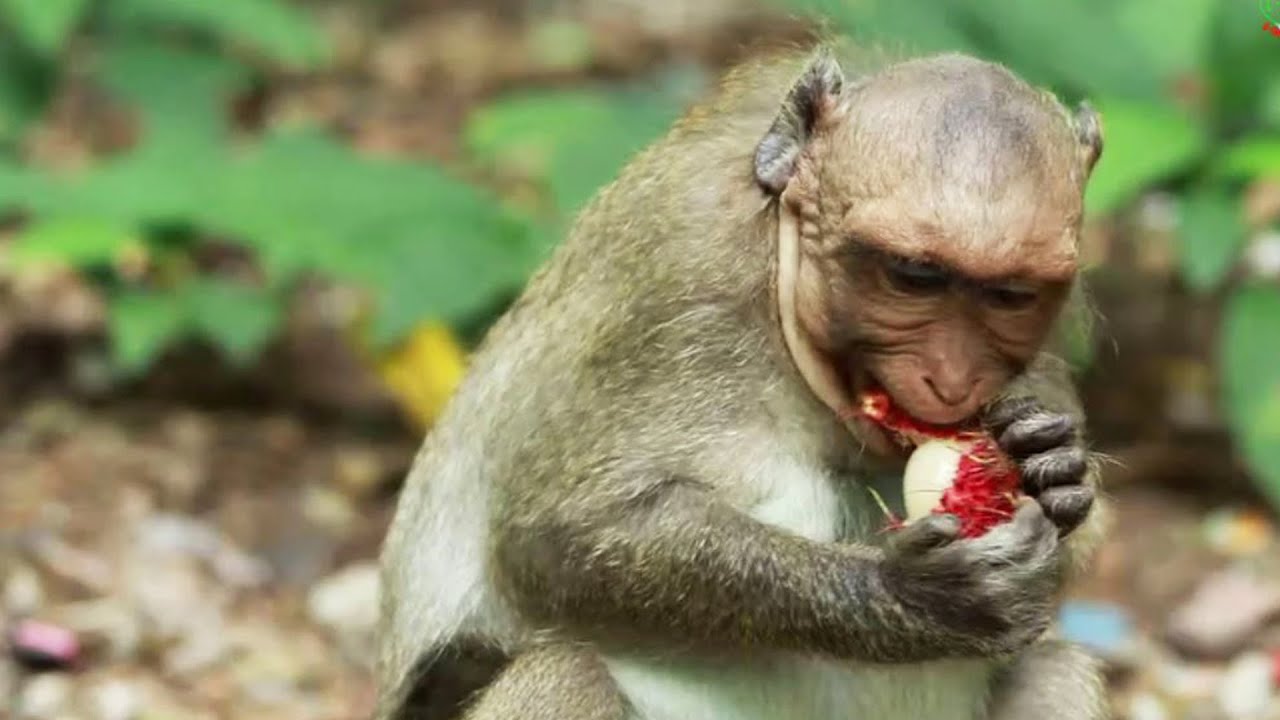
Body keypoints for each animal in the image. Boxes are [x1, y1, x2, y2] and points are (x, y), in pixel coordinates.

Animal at [375, 43, 1111, 720]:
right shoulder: (684, 265)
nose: (952, 378)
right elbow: (553, 537)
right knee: (565, 670)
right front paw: (917, 598)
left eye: (1010, 296)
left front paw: (1050, 462)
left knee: (1055, 669)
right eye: (914, 277)